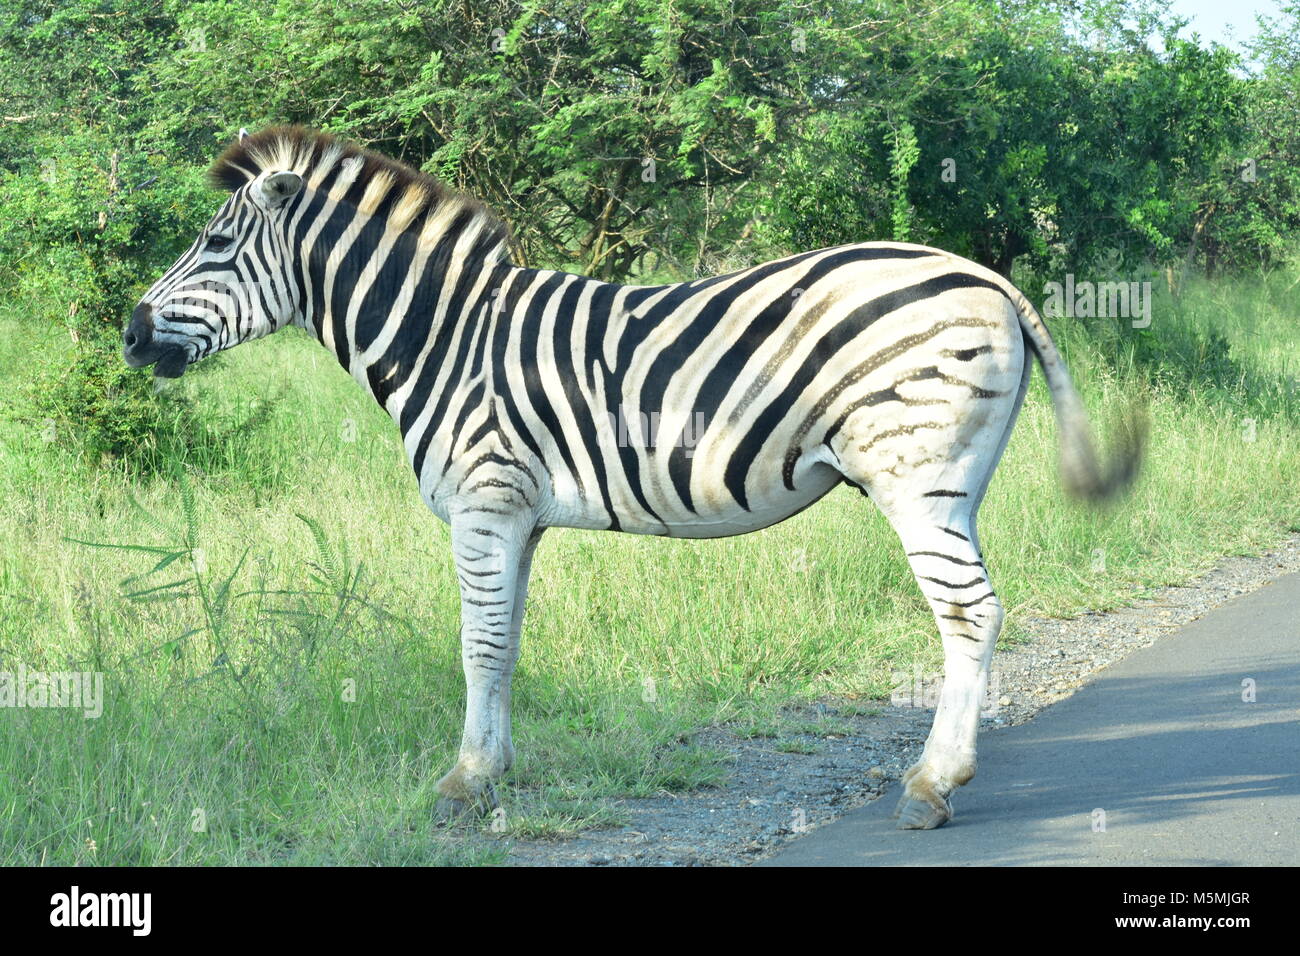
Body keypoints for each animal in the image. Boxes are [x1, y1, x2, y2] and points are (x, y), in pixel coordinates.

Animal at [124, 126, 1142, 830]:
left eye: (215, 247)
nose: (130, 335)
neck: (446, 338)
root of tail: (985, 276)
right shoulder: (519, 517)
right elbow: (507, 644)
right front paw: (494, 771)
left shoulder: (484, 502)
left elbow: (477, 647)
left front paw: (461, 785)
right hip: (956, 484)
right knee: (975, 610)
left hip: (914, 479)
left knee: (970, 613)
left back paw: (933, 786)